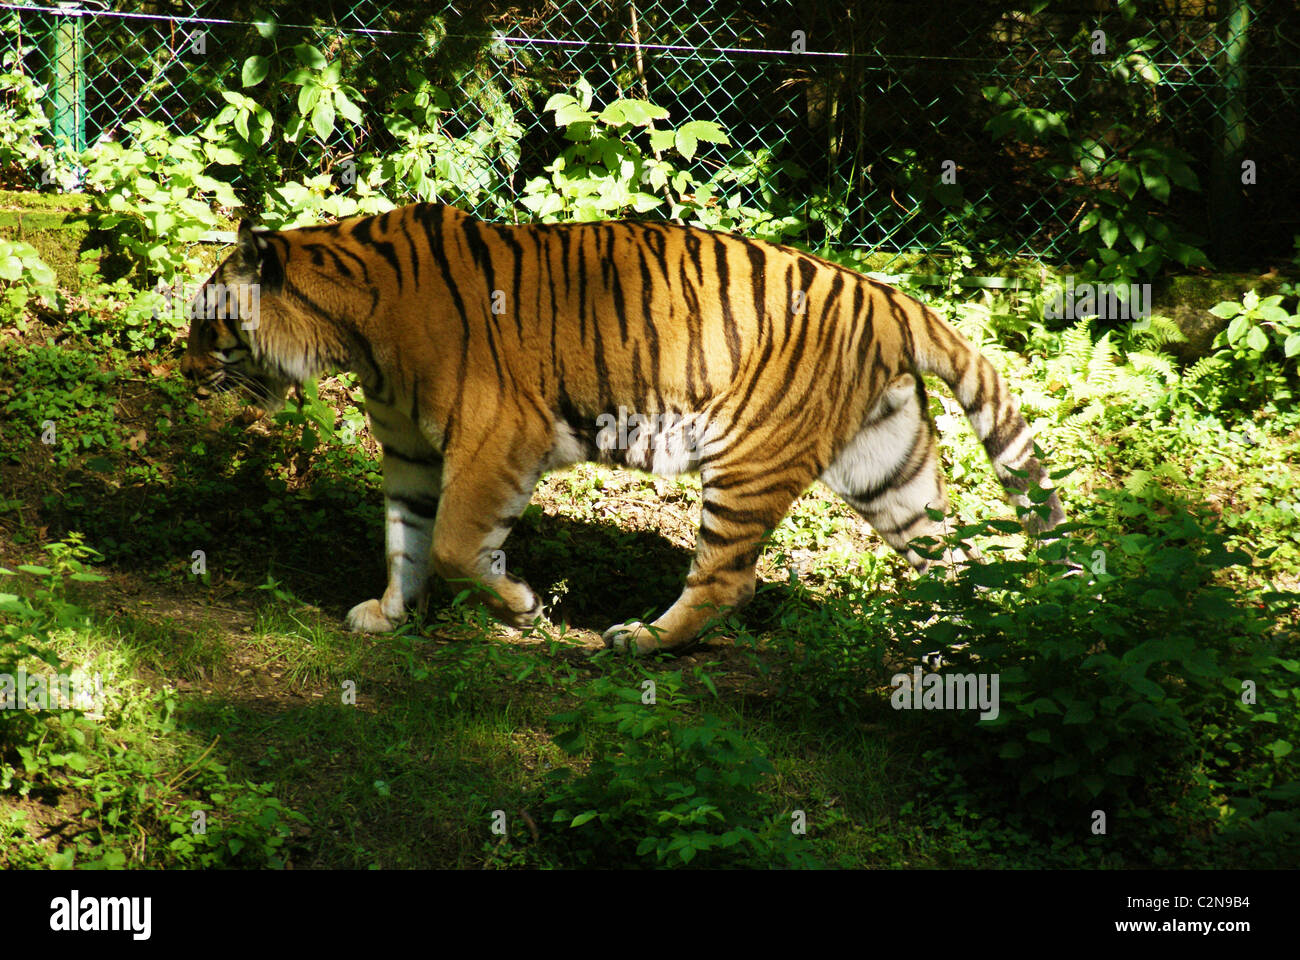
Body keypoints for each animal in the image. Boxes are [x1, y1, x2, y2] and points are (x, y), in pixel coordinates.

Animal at [180, 202, 1065, 654]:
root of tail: (888, 296)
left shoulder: (497, 437)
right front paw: (391, 615)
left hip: (748, 457)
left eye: (203, 320)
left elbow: (456, 546)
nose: (182, 371)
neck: (351, 331)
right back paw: (954, 656)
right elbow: (405, 539)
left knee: (728, 579)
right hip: (888, 469)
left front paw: (519, 608)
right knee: (956, 566)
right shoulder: (407, 452)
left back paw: (639, 640)